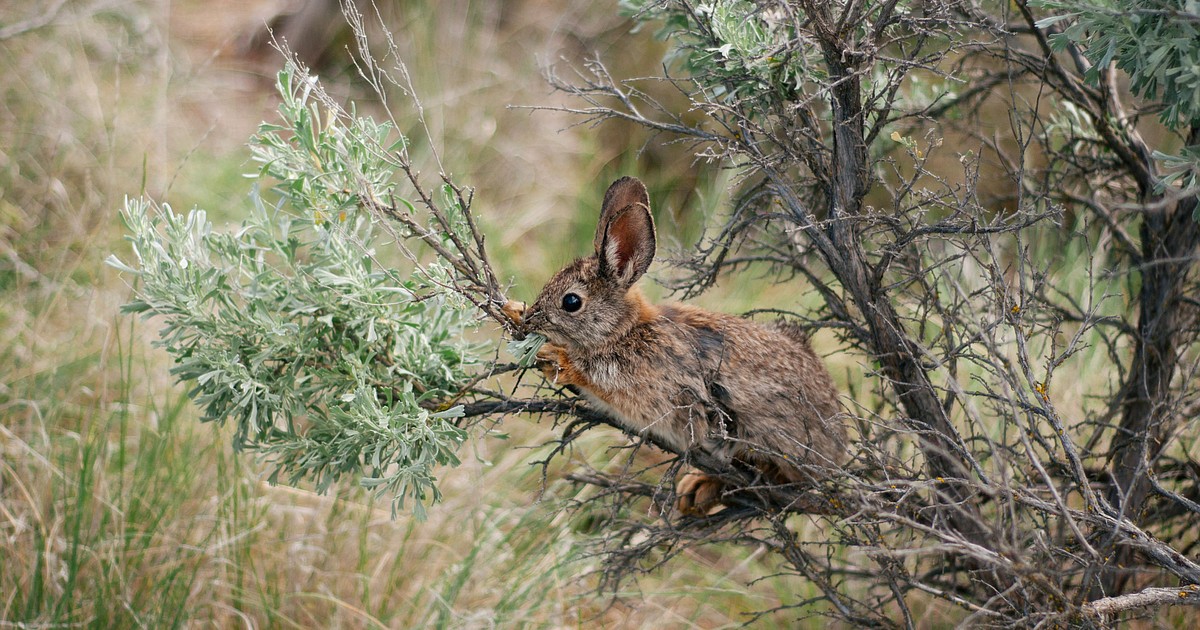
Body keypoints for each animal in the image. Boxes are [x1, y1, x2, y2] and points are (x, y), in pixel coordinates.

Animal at [503, 177, 847, 515]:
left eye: (571, 302)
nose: (531, 320)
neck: (624, 332)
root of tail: (839, 446)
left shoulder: (651, 392)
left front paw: (555, 357)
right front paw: (513, 309)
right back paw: (695, 490)